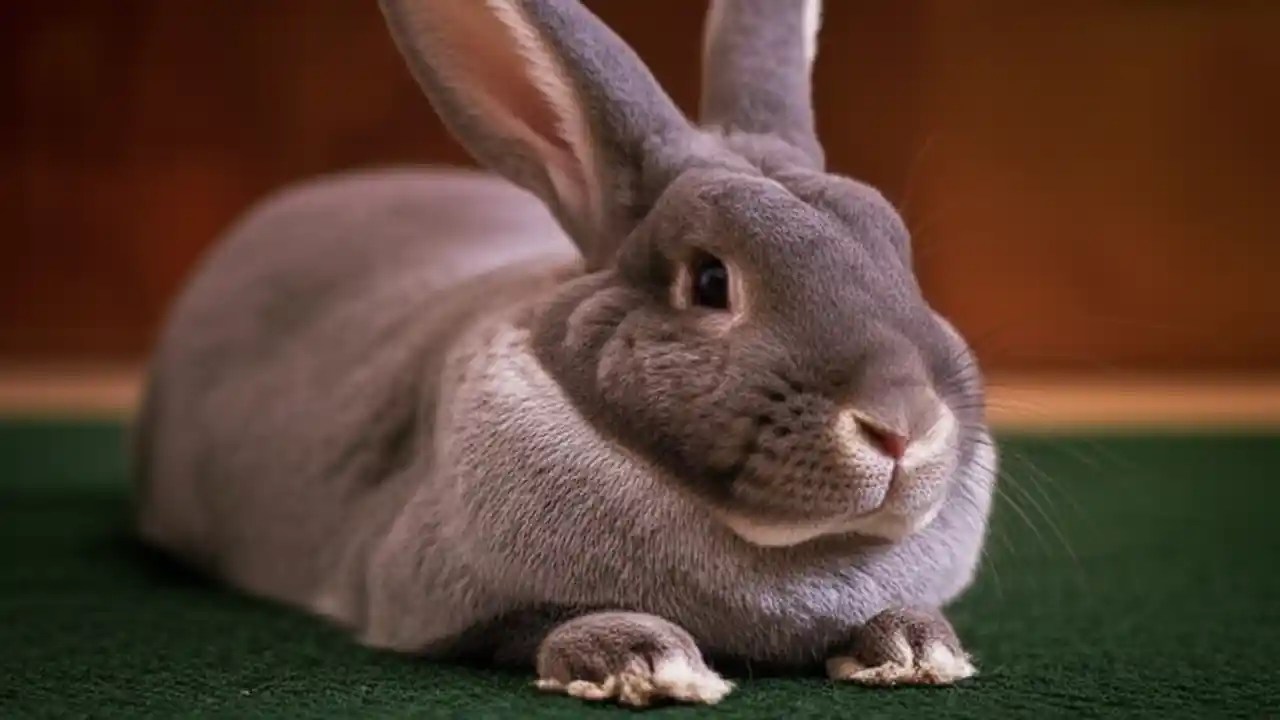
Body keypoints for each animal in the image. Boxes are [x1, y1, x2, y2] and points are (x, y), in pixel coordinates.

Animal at [133, 0, 997, 707]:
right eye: (710, 281)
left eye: (898, 249)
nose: (904, 425)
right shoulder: (435, 591)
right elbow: (543, 626)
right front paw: (645, 661)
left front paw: (919, 647)